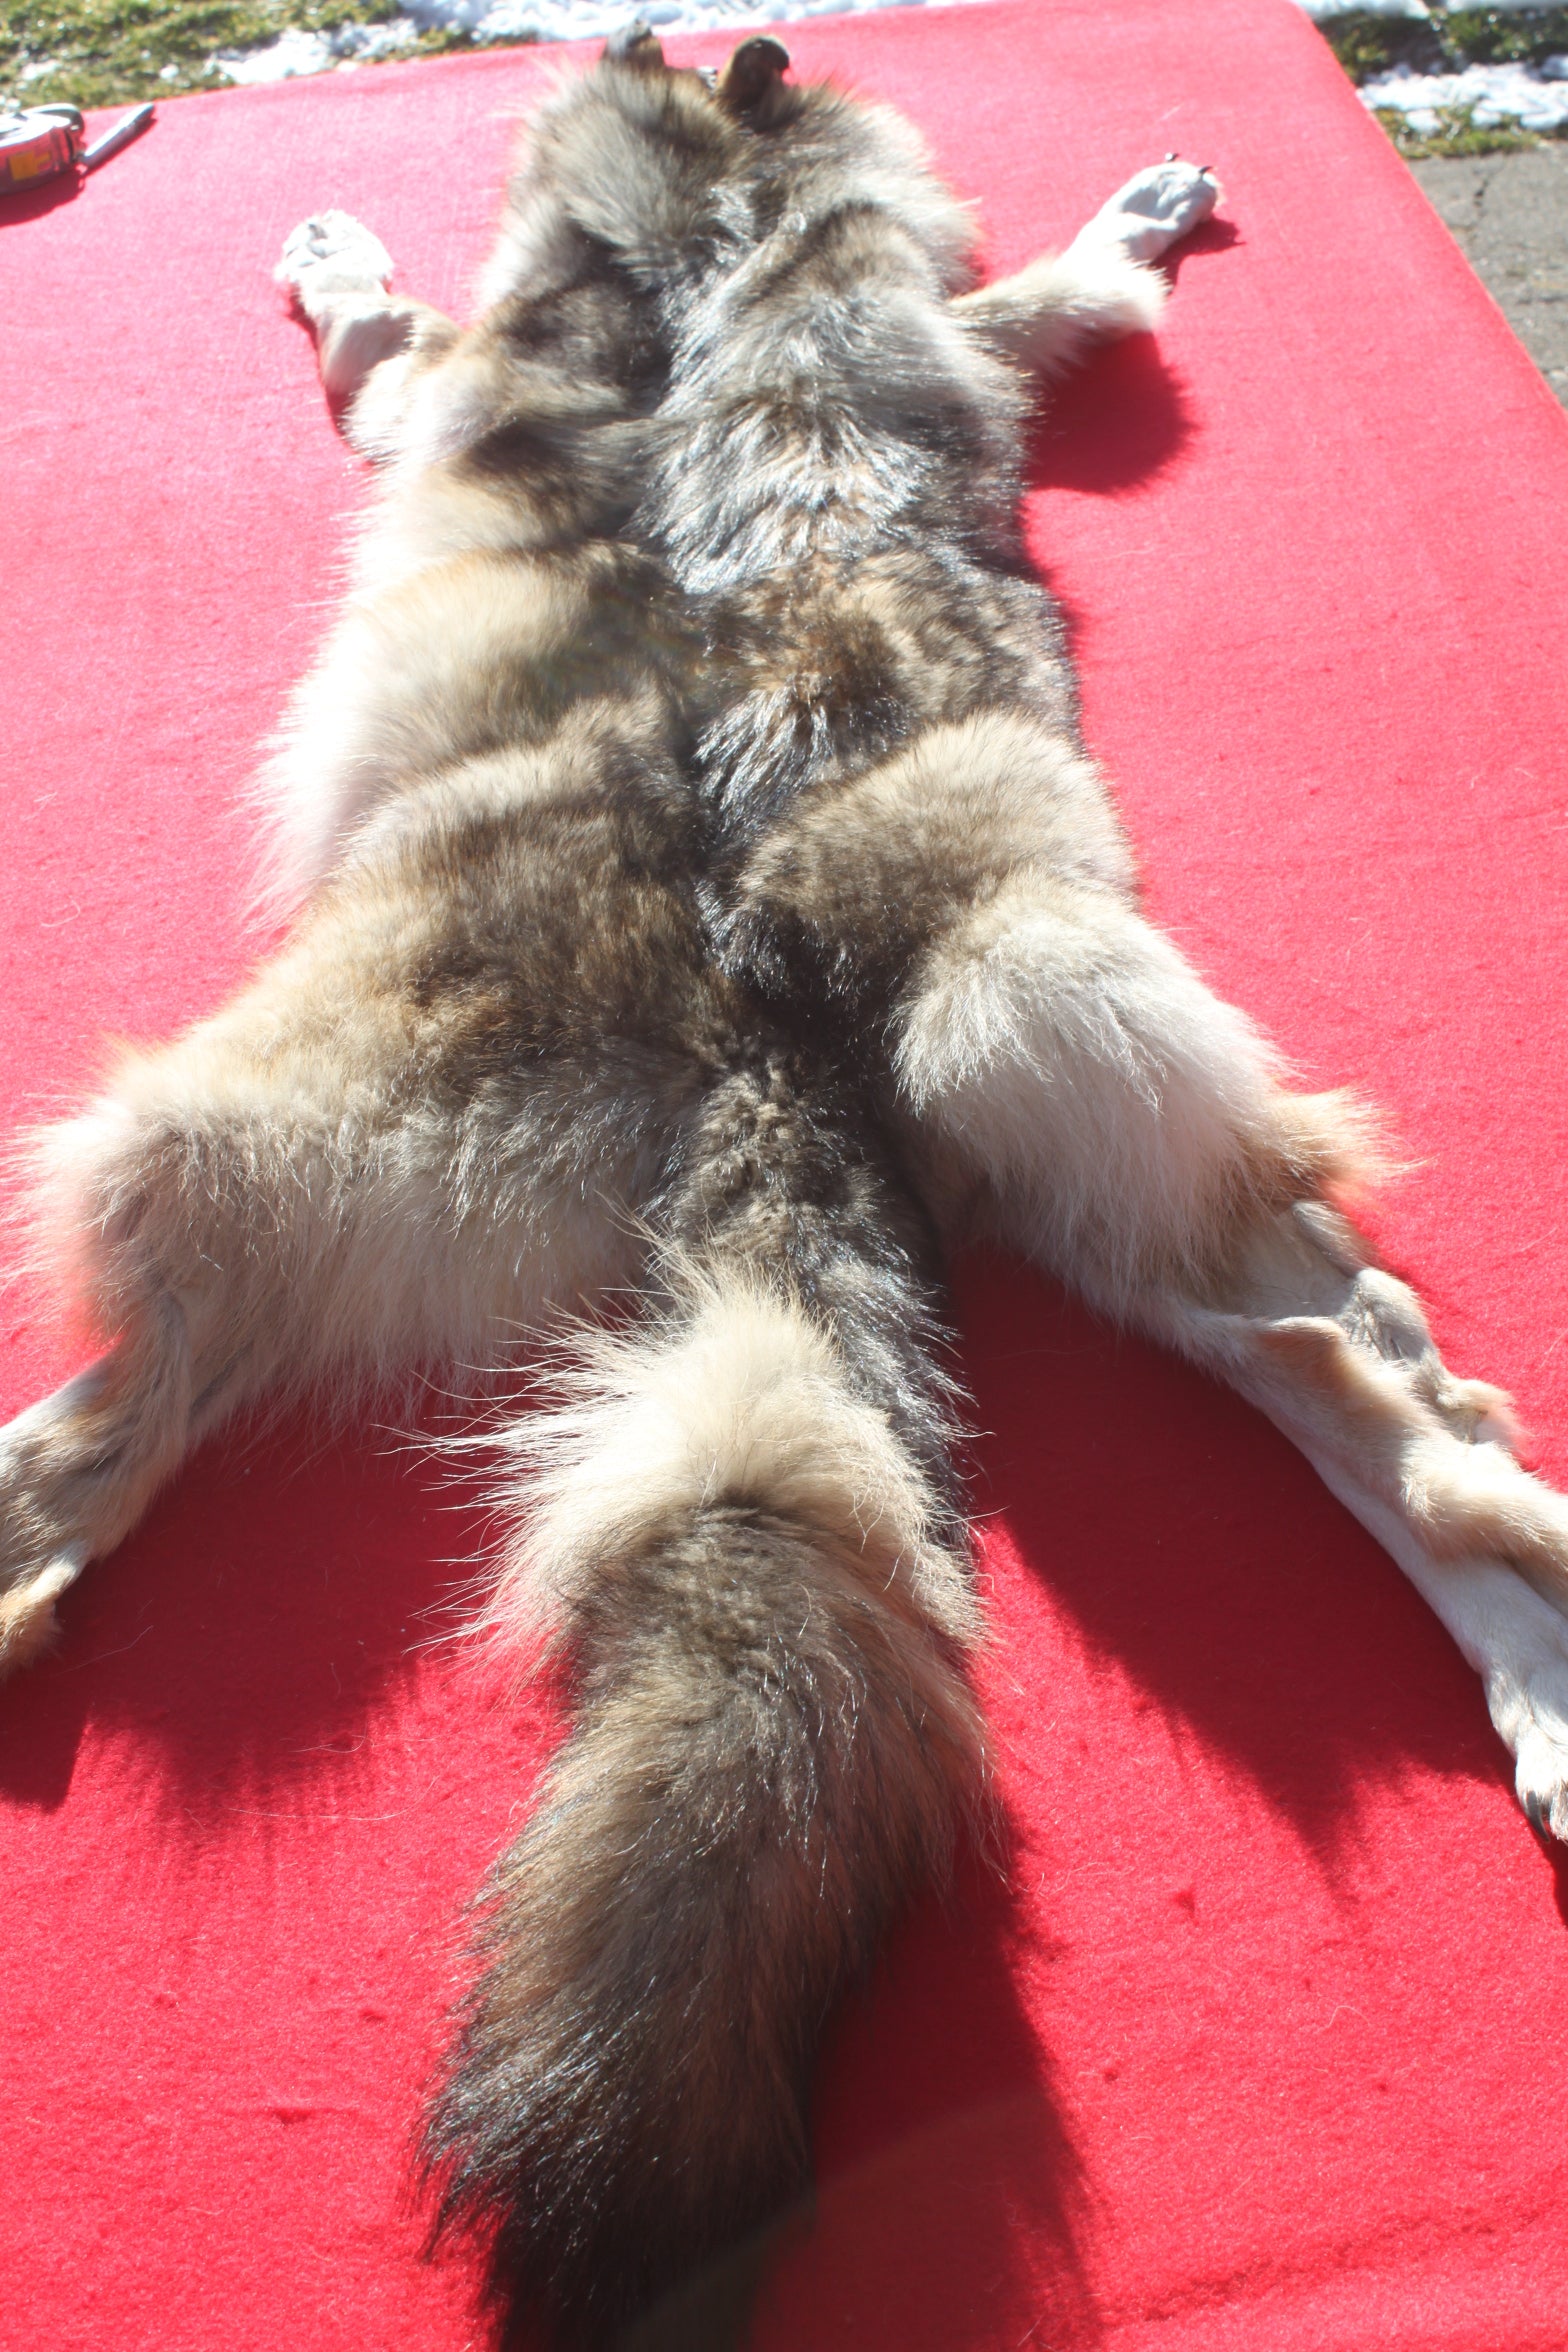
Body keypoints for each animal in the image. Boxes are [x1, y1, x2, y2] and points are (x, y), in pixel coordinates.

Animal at [5, 26, 1568, 2352]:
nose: (637, 43)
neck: (702, 268)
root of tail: (751, 1026)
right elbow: (1044, 307)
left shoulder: (443, 371)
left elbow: (385, 323)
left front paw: (339, 245)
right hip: (1054, 1147)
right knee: (1374, 1375)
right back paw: (1526, 1631)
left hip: (226, 1148)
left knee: (93, 1437)